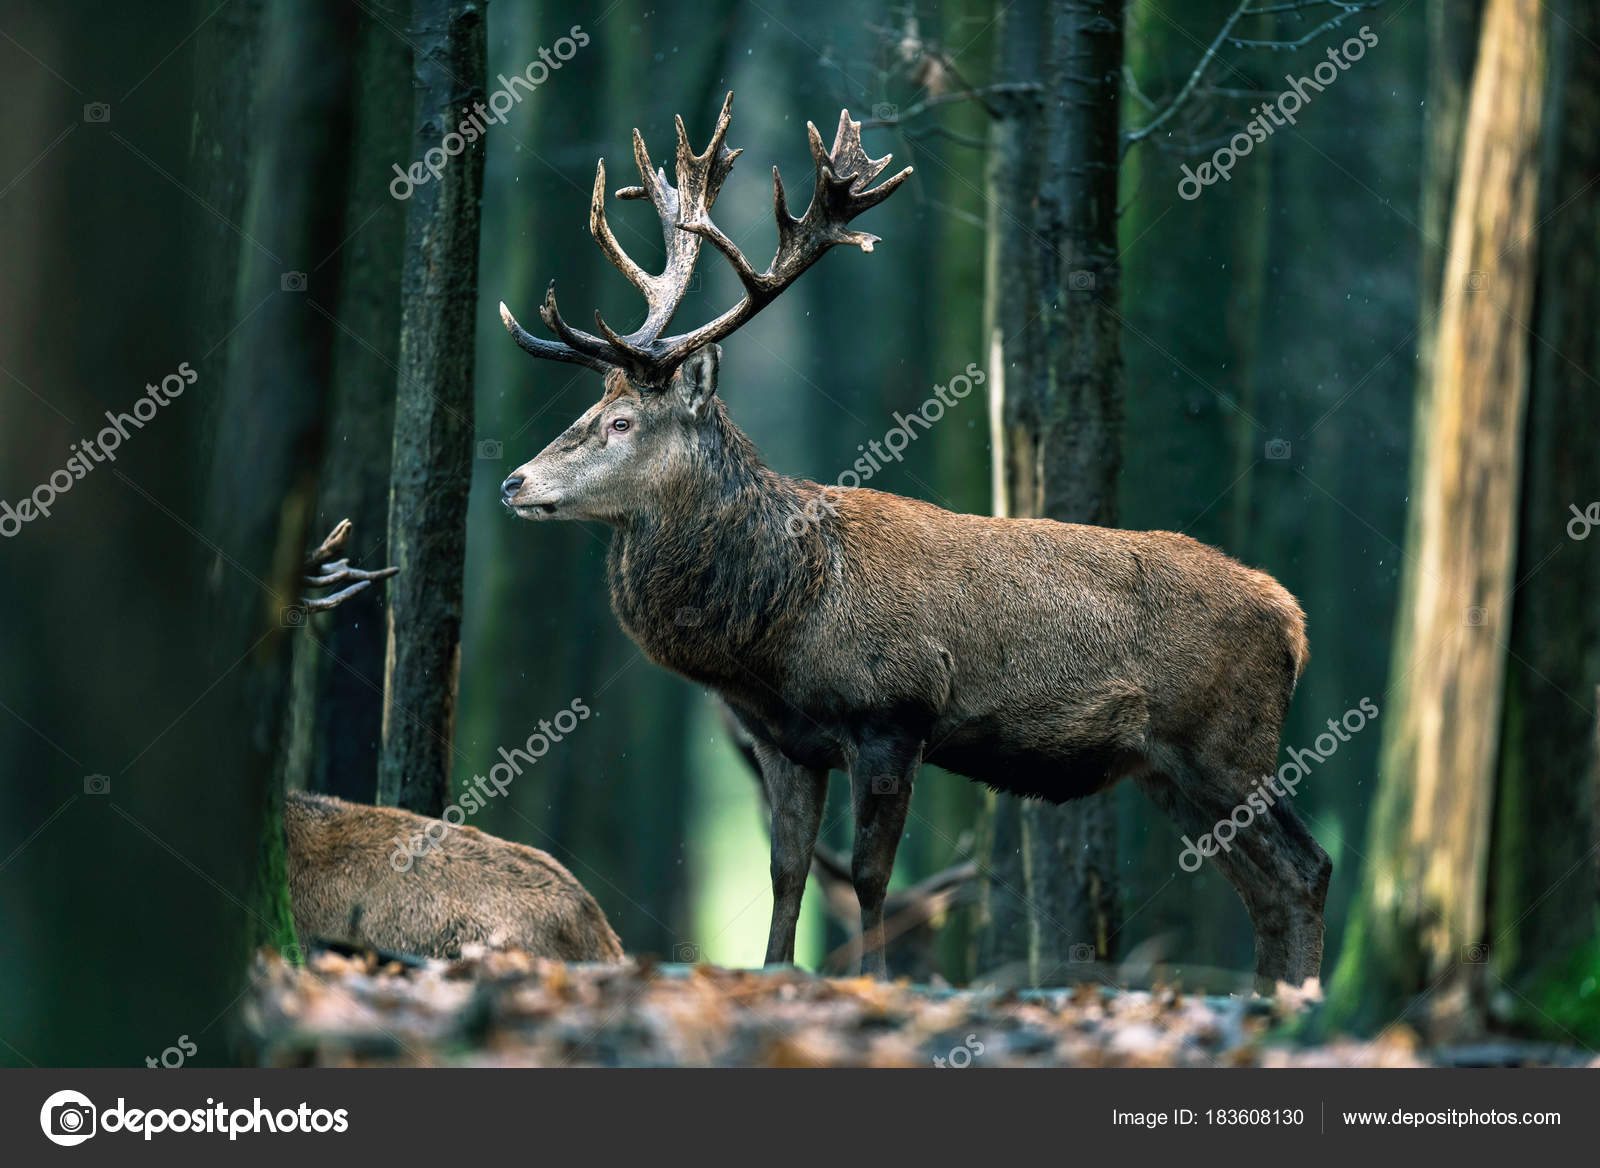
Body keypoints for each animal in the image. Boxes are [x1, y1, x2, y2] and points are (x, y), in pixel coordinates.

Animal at [496, 93, 1331, 986]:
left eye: (621, 421)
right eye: (588, 411)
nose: (514, 482)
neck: (782, 617)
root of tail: (1294, 621)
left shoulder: (894, 713)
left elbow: (870, 877)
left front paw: (876, 982)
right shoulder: (787, 742)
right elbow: (787, 873)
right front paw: (779, 972)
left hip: (1227, 744)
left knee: (1306, 868)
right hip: (1172, 769)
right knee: (1265, 886)